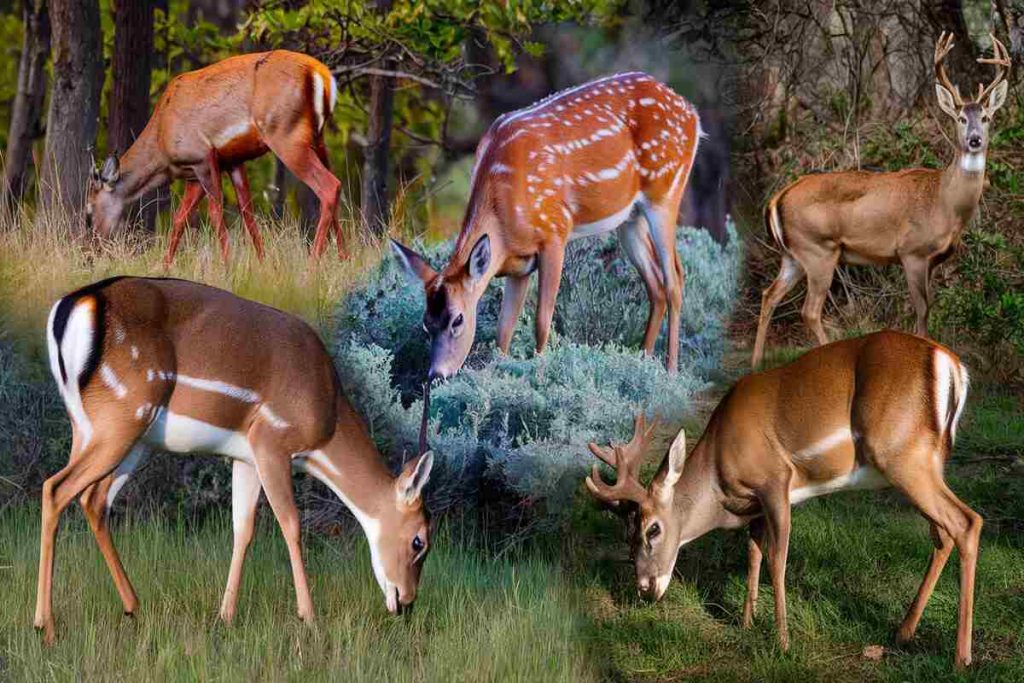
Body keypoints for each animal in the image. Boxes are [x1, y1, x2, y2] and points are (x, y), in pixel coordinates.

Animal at [36, 276, 434, 645]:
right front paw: (309, 617)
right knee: (56, 488)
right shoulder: (272, 440)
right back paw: (46, 625)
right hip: (124, 415)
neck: (326, 428)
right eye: (420, 541)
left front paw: (225, 616)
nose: (407, 601)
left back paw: (133, 606)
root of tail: (72, 306)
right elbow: (291, 524)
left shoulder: (245, 457)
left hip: (110, 432)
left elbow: (242, 528)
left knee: (94, 499)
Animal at [86, 51, 346, 267]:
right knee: (336, 186)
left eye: (89, 212)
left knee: (328, 185)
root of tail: (321, 75)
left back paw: (312, 265)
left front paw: (227, 265)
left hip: (286, 136)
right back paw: (345, 257)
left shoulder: (201, 156)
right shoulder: (227, 163)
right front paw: (263, 264)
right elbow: (204, 216)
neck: (162, 145)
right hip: (317, 138)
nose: (91, 252)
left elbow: (215, 211)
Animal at [391, 72, 702, 378]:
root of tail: (692, 113)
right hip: (630, 219)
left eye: (458, 319)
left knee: (675, 279)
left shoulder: (554, 232)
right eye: (426, 323)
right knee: (656, 284)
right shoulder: (518, 264)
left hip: (665, 192)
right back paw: (643, 362)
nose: (437, 374)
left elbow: (542, 319)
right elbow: (504, 330)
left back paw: (671, 372)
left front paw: (540, 374)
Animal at [587, 331, 980, 668]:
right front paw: (746, 622)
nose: (644, 588)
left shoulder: (775, 480)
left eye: (653, 529)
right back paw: (903, 633)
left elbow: (777, 559)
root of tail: (950, 363)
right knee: (942, 534)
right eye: (627, 534)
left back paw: (961, 657)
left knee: (966, 521)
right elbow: (753, 552)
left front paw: (783, 641)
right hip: (927, 462)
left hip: (902, 455)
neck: (719, 478)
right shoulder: (756, 506)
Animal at [751, 33, 1011, 368]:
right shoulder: (912, 251)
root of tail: (776, 198)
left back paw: (756, 363)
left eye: (987, 118)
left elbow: (929, 307)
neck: (945, 203)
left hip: (793, 255)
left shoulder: (935, 260)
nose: (975, 140)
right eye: (961, 118)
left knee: (769, 294)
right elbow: (923, 310)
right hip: (818, 249)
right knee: (809, 310)